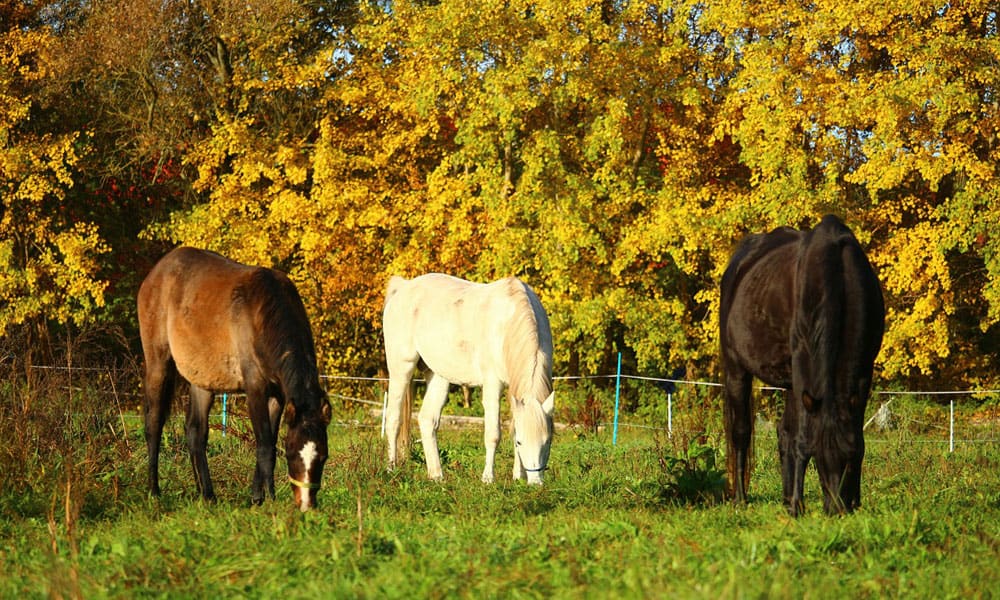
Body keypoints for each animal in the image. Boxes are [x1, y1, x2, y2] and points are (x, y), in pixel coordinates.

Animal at [137, 247, 332, 511]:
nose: (305, 505)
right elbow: (265, 446)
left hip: (202, 381)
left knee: (195, 433)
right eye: (291, 453)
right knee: (154, 425)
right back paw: (154, 492)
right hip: (158, 364)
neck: (263, 314)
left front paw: (259, 496)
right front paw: (266, 499)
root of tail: (155, 273)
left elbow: (269, 442)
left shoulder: (278, 396)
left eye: (322, 456)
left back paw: (206, 495)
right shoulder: (255, 388)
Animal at [381, 273, 555, 485]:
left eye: (547, 441)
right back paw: (391, 469)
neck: (507, 323)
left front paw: (517, 477)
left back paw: (437, 475)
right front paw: (488, 478)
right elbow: (493, 435)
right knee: (393, 419)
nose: (536, 483)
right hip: (401, 369)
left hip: (438, 376)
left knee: (427, 420)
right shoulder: (493, 385)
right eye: (521, 442)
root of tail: (403, 287)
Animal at [719, 215, 885, 516]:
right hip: (737, 370)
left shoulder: (863, 373)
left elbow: (855, 434)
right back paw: (741, 498)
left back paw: (786, 499)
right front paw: (798, 505)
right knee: (741, 432)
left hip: (790, 382)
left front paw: (855, 501)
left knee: (783, 432)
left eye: (848, 457)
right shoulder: (805, 373)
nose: (836, 509)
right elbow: (801, 439)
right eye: (819, 460)